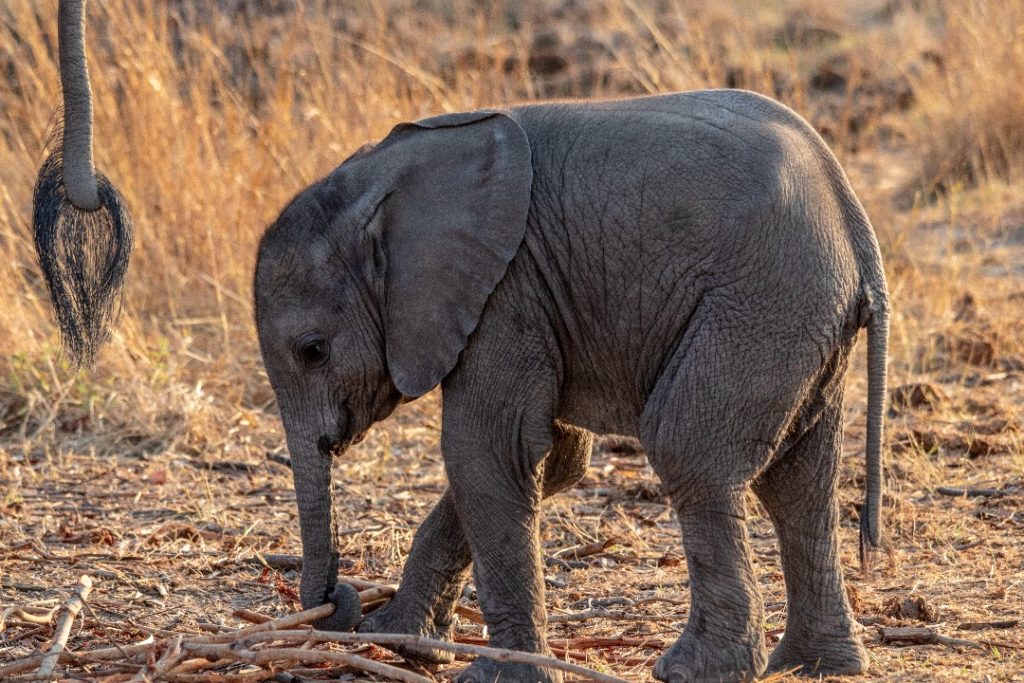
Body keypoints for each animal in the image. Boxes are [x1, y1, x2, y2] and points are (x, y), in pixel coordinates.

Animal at [255, 90, 889, 683]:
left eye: (313, 351)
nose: (337, 602)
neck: (377, 181)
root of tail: (856, 226)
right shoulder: (525, 294)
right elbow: (551, 458)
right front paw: (404, 643)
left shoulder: (507, 289)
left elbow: (487, 451)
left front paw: (495, 674)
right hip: (799, 320)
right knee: (801, 482)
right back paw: (815, 666)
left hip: (760, 307)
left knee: (690, 453)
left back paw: (692, 670)